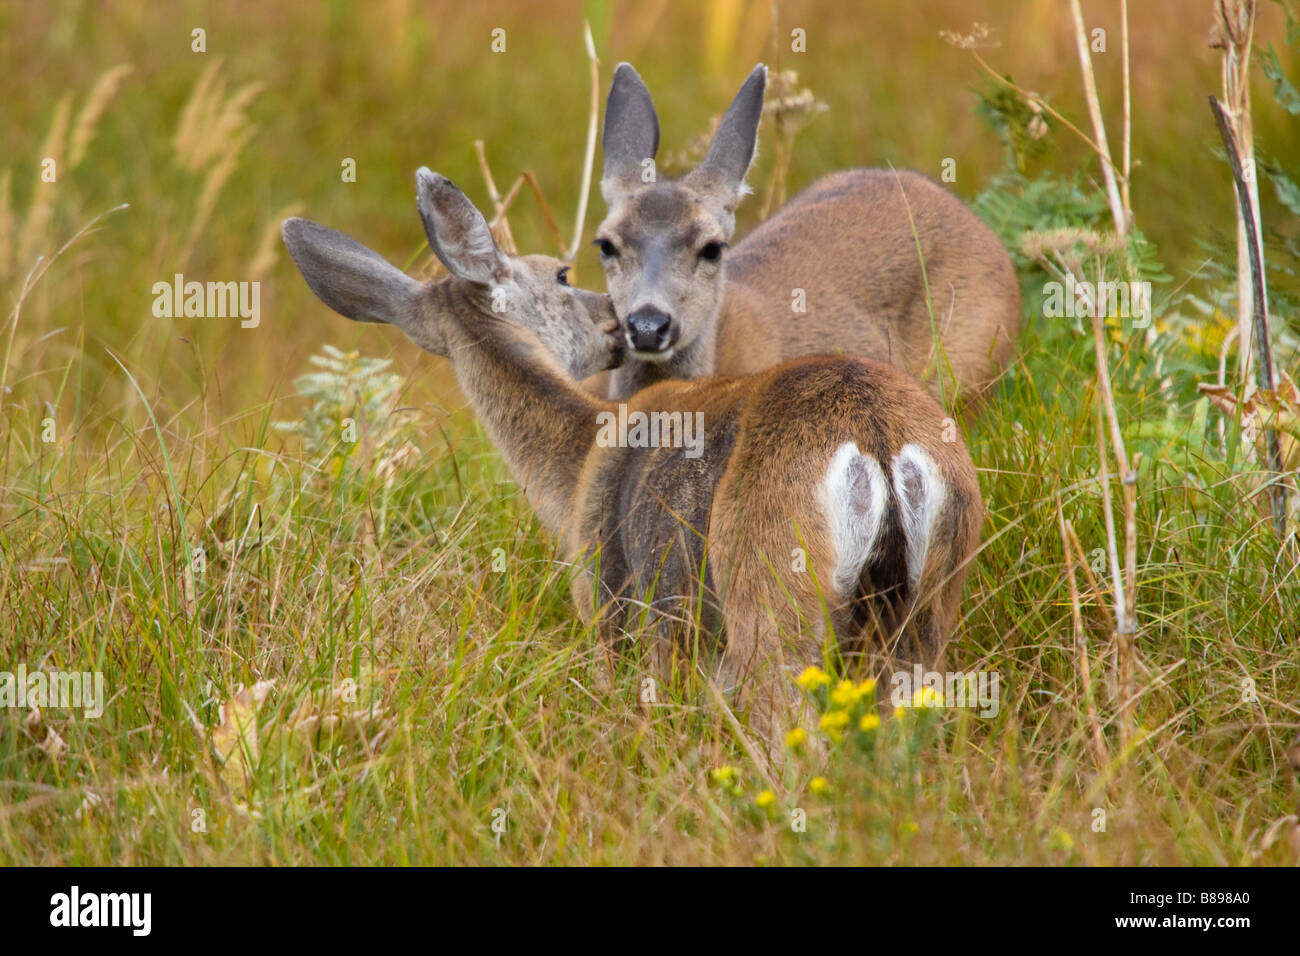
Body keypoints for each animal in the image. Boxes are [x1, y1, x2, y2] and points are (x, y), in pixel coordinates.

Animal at [282, 168, 983, 746]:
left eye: (561, 270)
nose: (622, 324)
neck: (579, 463)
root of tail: (879, 440)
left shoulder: (611, 606)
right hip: (926, 607)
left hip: (771, 585)